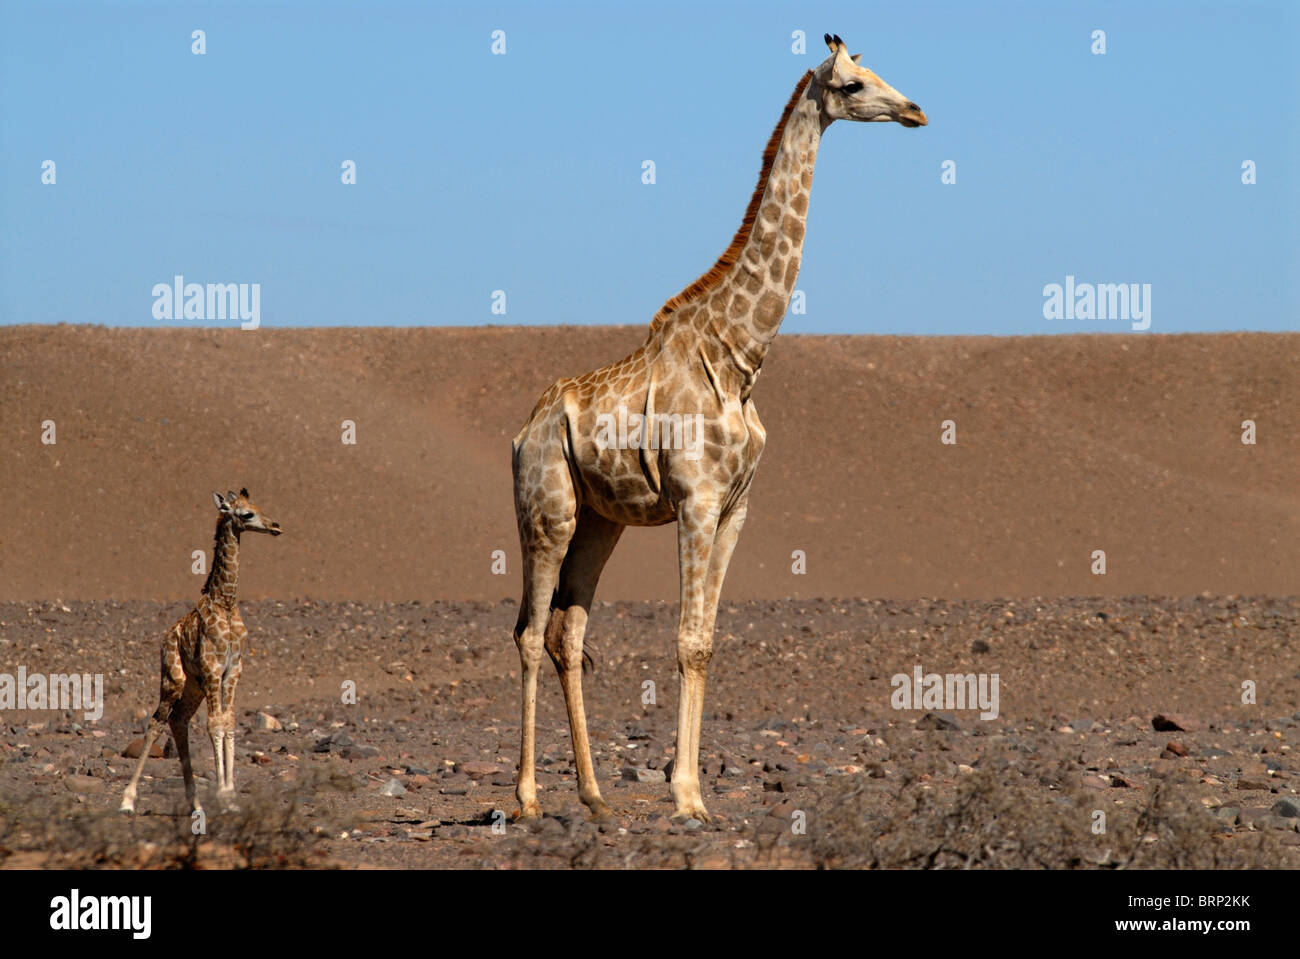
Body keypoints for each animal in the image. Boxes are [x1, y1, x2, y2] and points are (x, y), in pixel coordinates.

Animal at [120, 488, 282, 814]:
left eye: (258, 506)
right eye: (247, 514)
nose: (275, 526)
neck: (226, 602)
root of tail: (165, 638)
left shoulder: (233, 671)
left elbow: (228, 724)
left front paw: (230, 797)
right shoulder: (212, 668)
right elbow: (214, 726)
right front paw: (223, 795)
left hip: (193, 687)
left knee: (178, 721)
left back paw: (194, 802)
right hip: (174, 679)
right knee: (156, 722)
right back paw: (128, 800)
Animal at [509, 34, 926, 823]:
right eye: (854, 85)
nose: (916, 110)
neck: (740, 355)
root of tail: (523, 432)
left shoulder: (736, 507)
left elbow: (705, 640)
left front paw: (694, 792)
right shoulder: (696, 501)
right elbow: (683, 641)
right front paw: (686, 796)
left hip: (600, 520)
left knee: (565, 631)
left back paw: (594, 794)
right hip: (545, 513)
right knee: (524, 631)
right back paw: (526, 799)